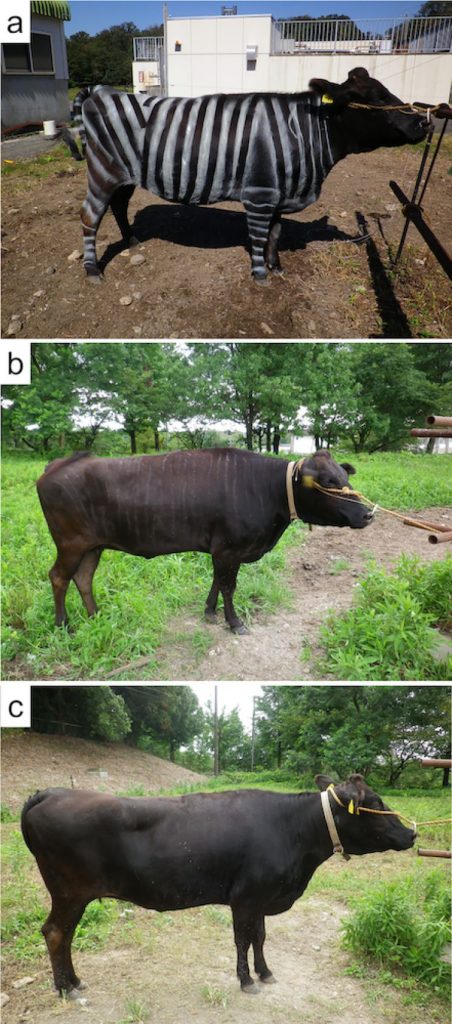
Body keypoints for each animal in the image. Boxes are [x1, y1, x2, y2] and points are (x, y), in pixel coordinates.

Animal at [21, 775, 415, 998]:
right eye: (375, 803)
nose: (412, 833)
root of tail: (50, 792)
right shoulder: (246, 897)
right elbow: (242, 940)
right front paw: (246, 980)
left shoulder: (261, 898)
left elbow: (259, 937)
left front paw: (265, 973)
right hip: (70, 891)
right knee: (56, 933)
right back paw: (66, 989)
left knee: (62, 935)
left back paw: (73, 982)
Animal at [36, 448, 374, 633]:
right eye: (328, 482)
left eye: (345, 478)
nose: (368, 513)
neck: (267, 490)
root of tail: (59, 463)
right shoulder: (229, 548)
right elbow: (228, 586)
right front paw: (234, 622)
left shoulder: (220, 549)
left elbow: (216, 581)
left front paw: (210, 612)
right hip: (71, 543)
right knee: (58, 577)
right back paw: (64, 625)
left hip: (92, 545)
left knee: (83, 578)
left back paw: (96, 616)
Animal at [66, 69, 428, 284]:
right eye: (372, 100)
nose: (424, 122)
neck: (303, 133)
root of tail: (101, 91)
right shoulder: (260, 193)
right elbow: (257, 236)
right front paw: (260, 276)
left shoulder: (280, 192)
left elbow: (275, 234)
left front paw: (276, 267)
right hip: (103, 171)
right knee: (90, 216)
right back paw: (92, 270)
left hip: (125, 174)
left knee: (119, 206)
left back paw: (131, 240)